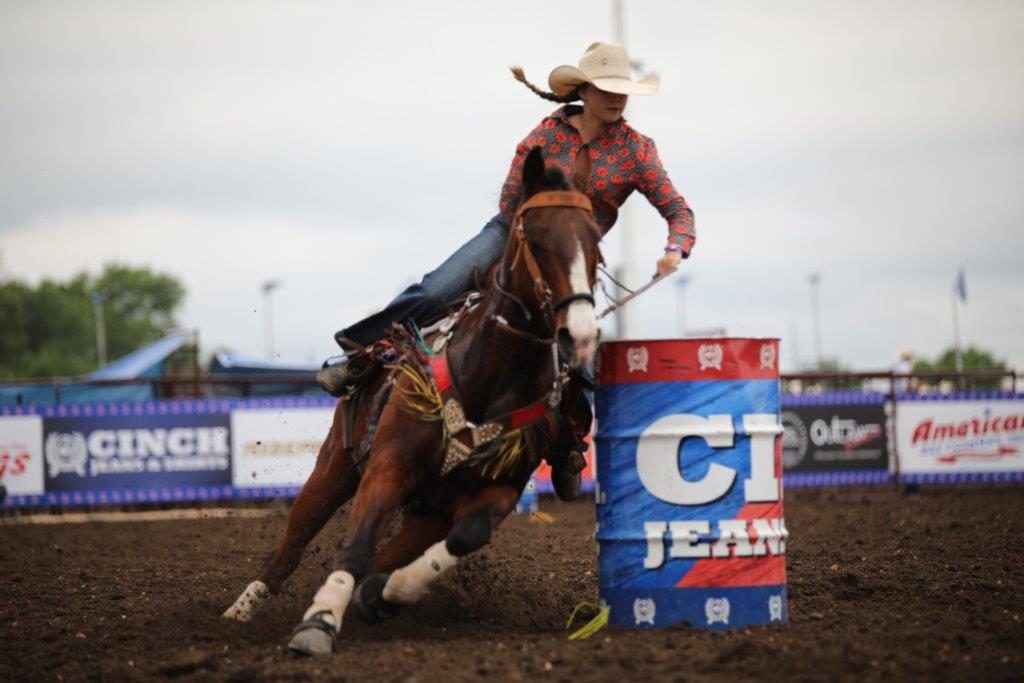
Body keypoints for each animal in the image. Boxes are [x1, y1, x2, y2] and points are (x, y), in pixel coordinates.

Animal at [222, 146, 602, 656]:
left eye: (595, 241)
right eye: (537, 238)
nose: (578, 333)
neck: (485, 380)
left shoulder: (494, 493)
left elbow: (463, 536)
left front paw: (385, 593)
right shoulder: (389, 466)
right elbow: (358, 546)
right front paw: (319, 622)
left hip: (424, 508)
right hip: (334, 467)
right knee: (294, 540)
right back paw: (242, 610)